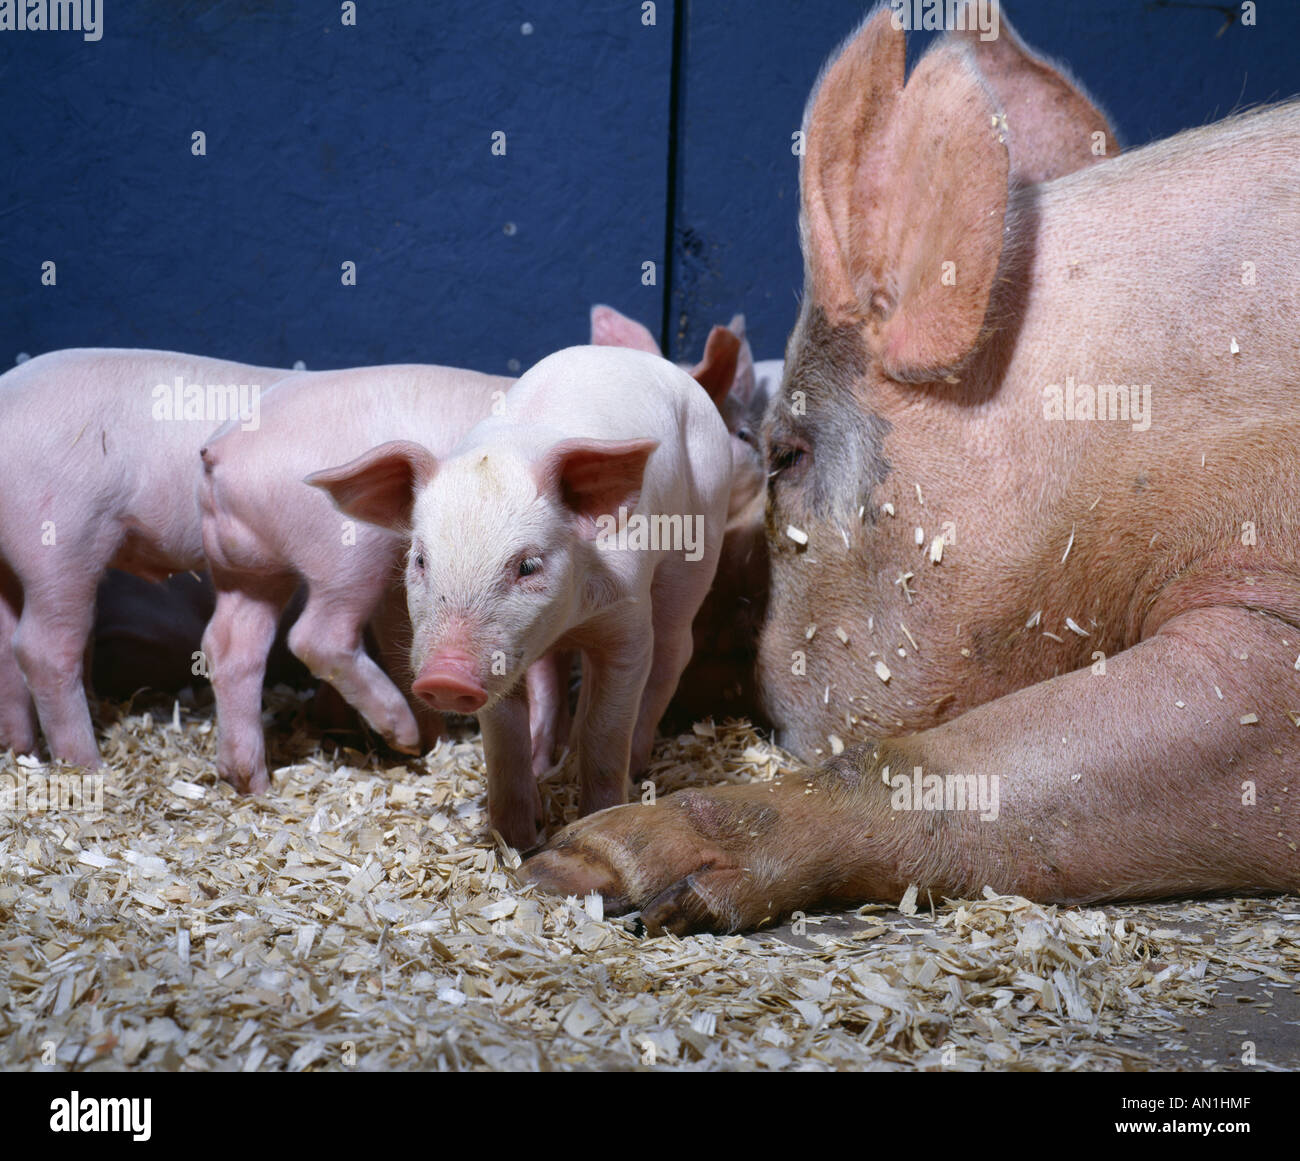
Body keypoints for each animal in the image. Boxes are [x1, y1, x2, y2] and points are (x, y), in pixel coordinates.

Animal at [309, 345, 734, 849]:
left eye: (528, 565)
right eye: (420, 559)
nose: (445, 676)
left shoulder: (629, 621)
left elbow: (606, 728)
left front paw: (599, 818)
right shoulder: (504, 655)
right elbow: (504, 735)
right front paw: (518, 839)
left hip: (699, 543)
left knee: (673, 651)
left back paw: (638, 761)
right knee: (552, 676)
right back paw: (545, 759)